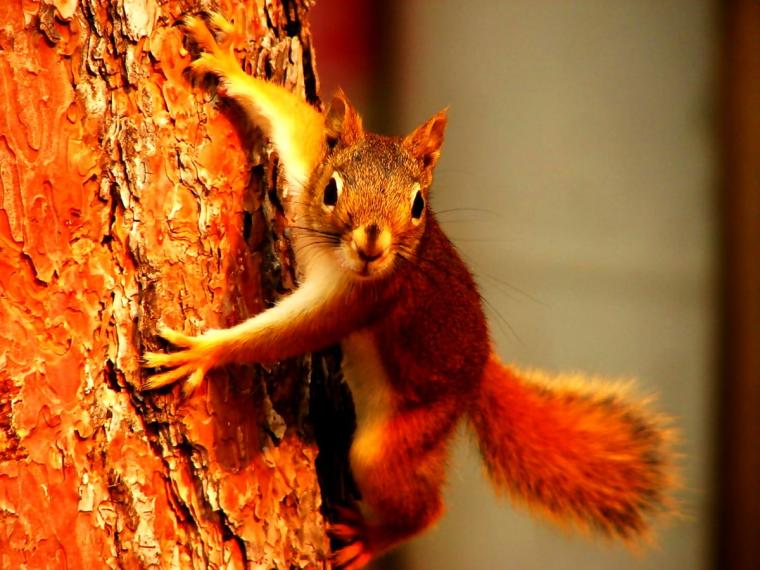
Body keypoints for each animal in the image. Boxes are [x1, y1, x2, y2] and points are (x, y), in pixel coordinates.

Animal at [143, 13, 677, 570]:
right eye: (332, 190)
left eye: (419, 204)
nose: (372, 244)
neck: (336, 256)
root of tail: (479, 371)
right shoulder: (309, 166)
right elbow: (294, 121)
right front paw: (227, 61)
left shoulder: (364, 298)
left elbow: (289, 334)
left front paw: (205, 352)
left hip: (403, 437)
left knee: (423, 507)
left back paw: (371, 539)